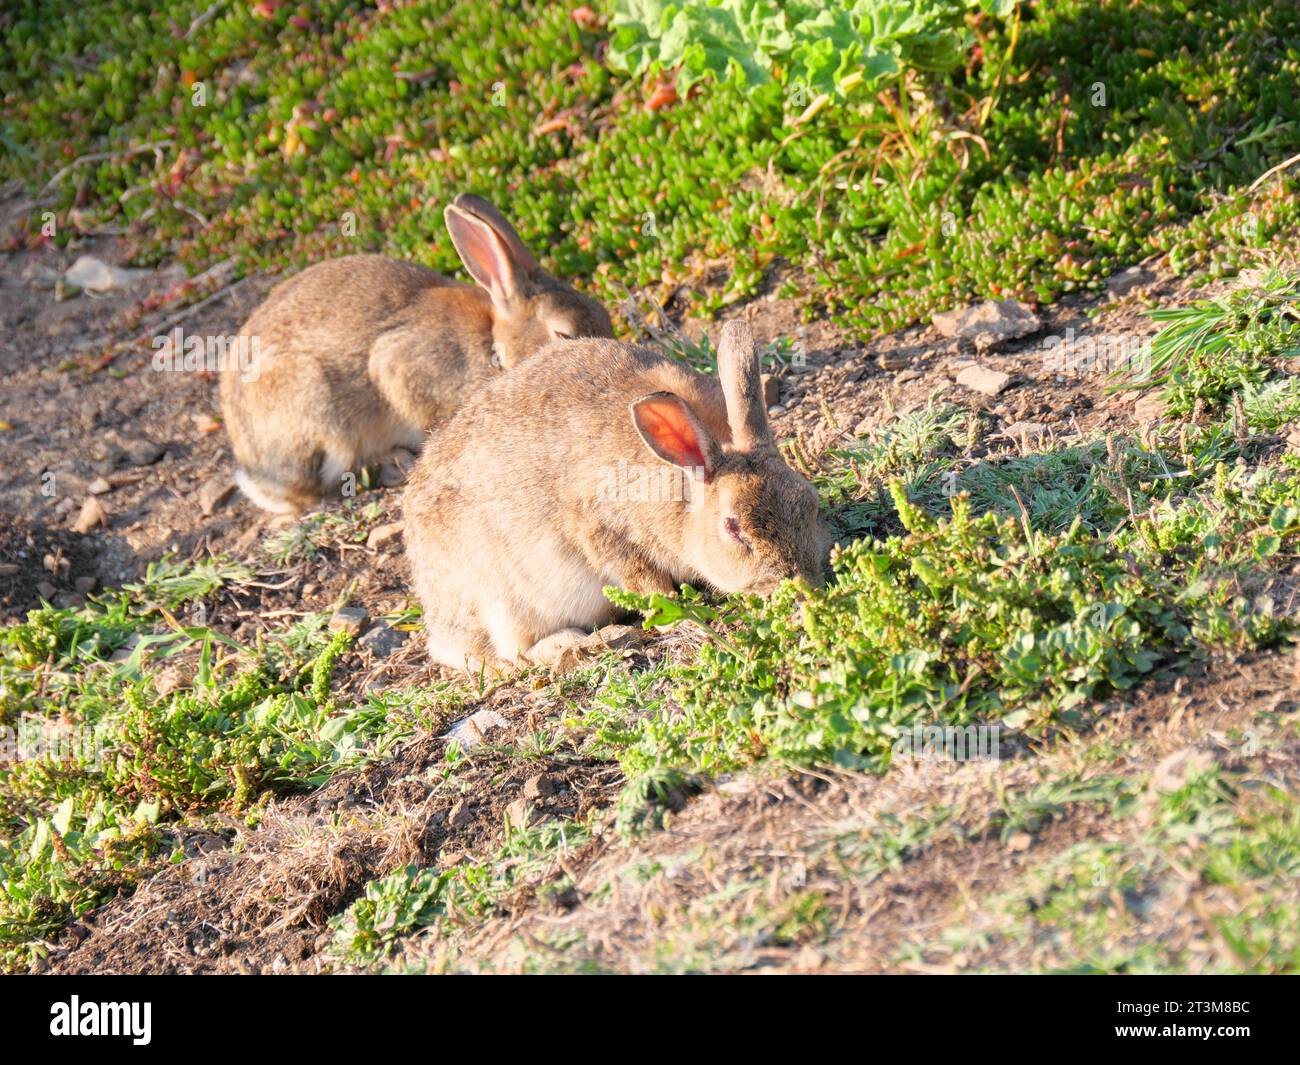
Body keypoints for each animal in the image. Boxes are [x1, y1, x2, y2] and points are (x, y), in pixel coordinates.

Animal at [403, 319, 830, 671]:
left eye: (811, 504)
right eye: (733, 528)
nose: (805, 588)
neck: (684, 485)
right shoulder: (602, 532)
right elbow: (646, 583)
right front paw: (680, 612)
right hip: (503, 601)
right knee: (509, 653)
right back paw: (586, 643)